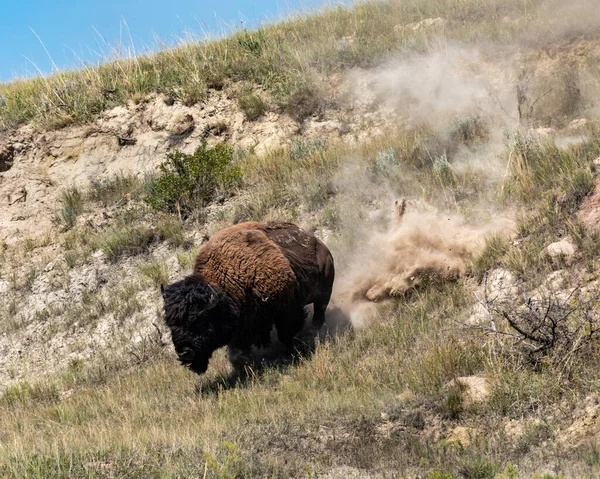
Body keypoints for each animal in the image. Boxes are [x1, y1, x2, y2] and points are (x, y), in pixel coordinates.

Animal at [162, 221, 336, 376]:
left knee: (319, 314)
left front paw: (292, 353)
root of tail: (320, 245)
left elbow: (285, 334)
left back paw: (312, 334)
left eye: (199, 321)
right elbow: (236, 352)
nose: (184, 352)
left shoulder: (286, 310)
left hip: (324, 293)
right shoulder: (243, 326)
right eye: (170, 324)